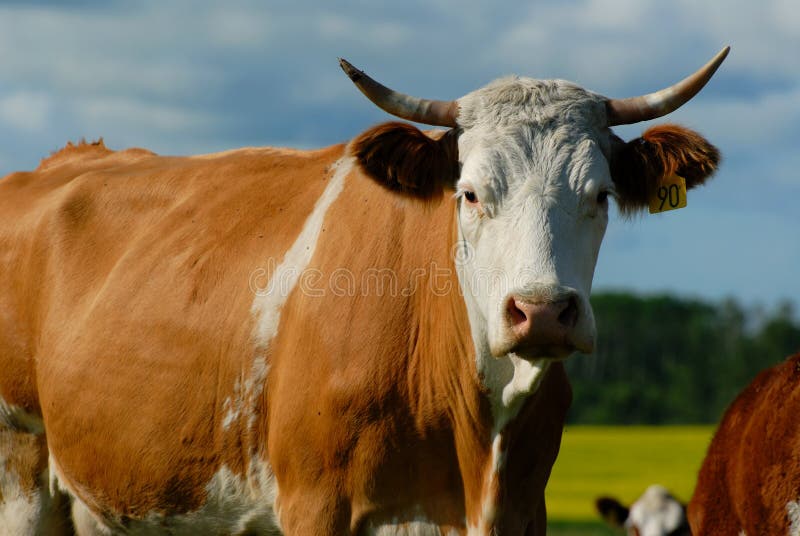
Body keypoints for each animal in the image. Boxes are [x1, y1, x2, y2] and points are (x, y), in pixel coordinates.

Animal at [0, 47, 728, 535]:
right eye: (469, 193)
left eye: (600, 195)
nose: (543, 312)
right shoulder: (317, 505)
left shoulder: (525, 507)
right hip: (21, 468)